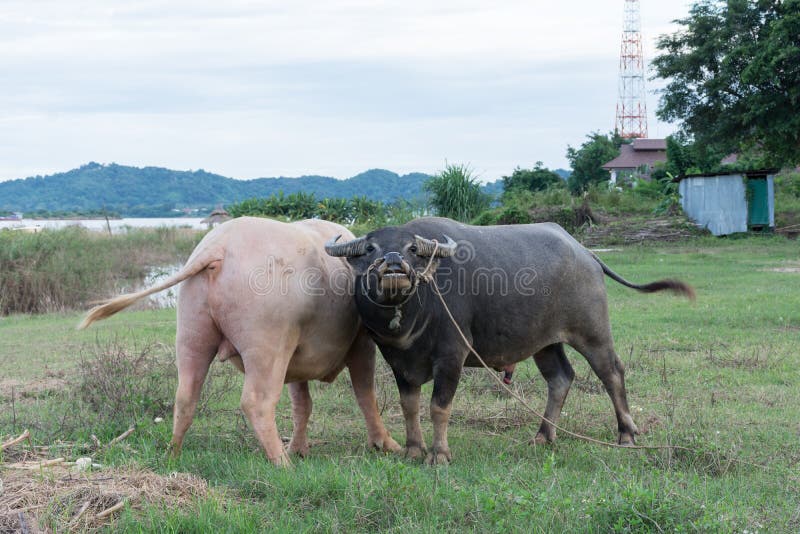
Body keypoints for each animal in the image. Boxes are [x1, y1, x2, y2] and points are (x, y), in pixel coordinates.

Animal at [326, 217, 693, 464]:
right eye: (371, 248)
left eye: (412, 249)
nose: (393, 263)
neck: (412, 313)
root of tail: (585, 252)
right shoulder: (398, 361)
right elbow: (409, 406)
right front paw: (414, 449)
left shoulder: (452, 355)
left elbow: (438, 407)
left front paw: (439, 453)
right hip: (545, 342)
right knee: (561, 378)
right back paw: (543, 436)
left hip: (593, 331)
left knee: (612, 373)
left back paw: (626, 435)